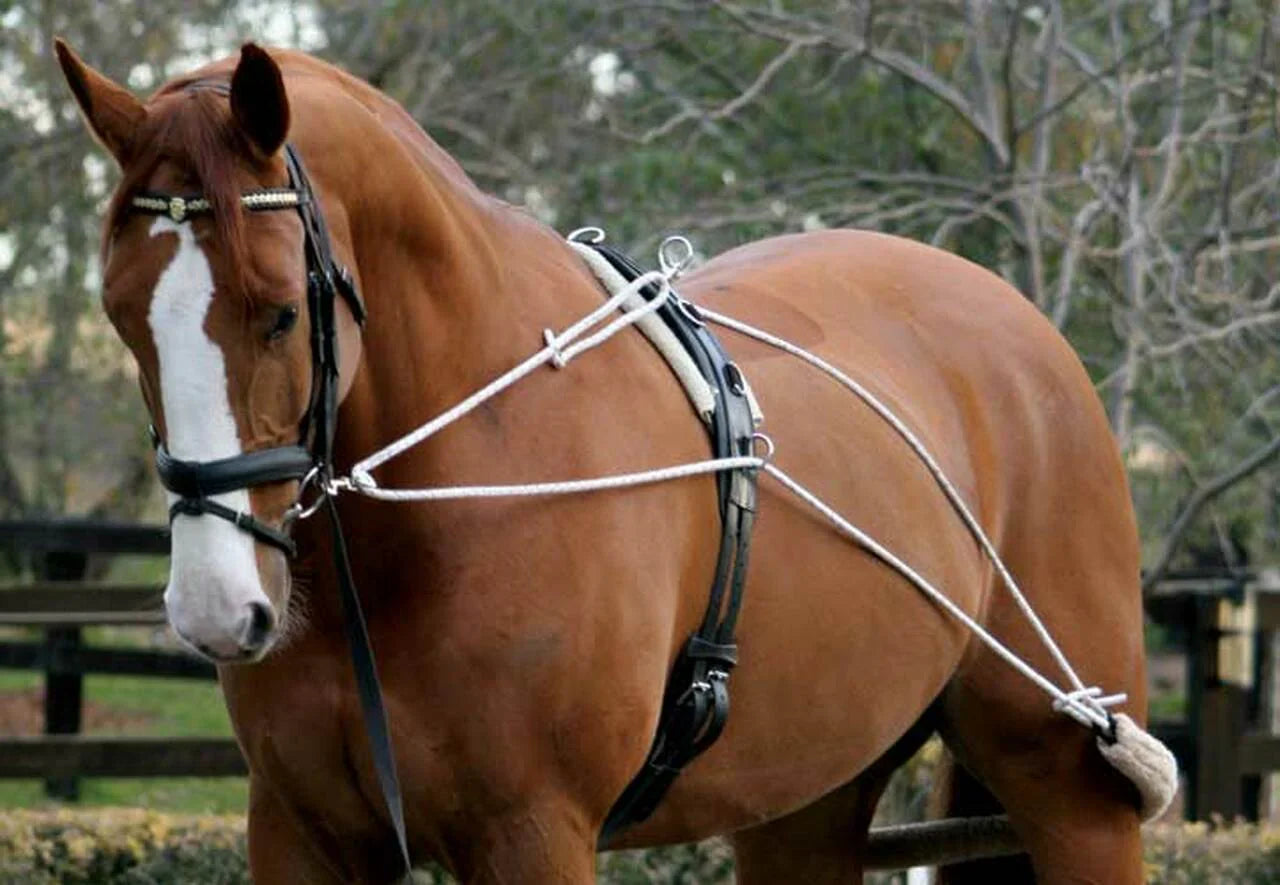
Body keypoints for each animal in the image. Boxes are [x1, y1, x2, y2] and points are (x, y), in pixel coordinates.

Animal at [56, 40, 1153, 883]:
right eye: (120, 314)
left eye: (280, 312)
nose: (216, 607)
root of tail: (1020, 327)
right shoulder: (301, 833)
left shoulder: (534, 834)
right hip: (804, 803)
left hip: (1072, 794)